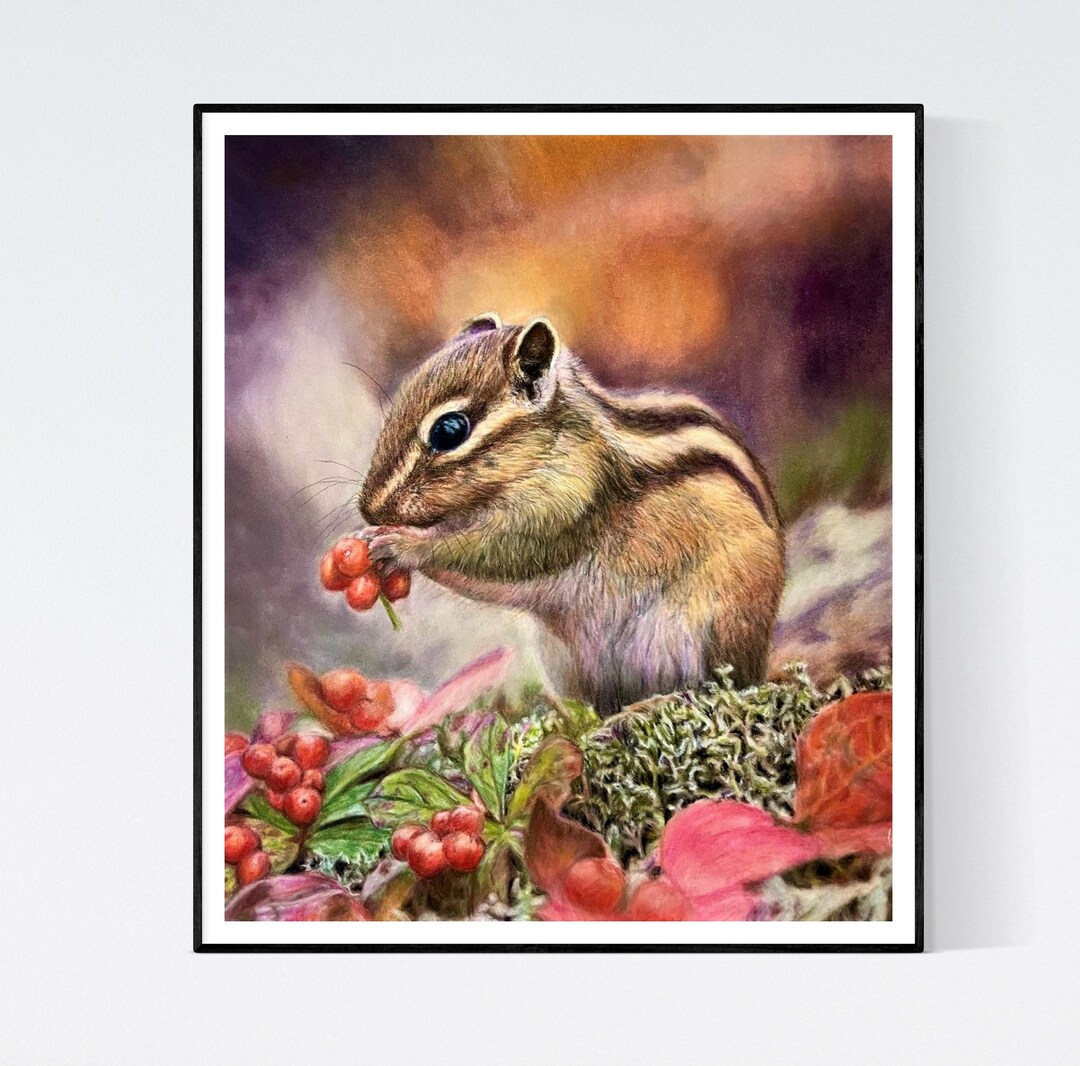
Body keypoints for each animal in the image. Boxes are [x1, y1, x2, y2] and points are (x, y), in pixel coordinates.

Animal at [356, 313, 785, 717]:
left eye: (449, 430)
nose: (369, 509)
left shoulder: (565, 507)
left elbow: (492, 555)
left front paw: (400, 545)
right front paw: (371, 537)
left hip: (716, 624)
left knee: (718, 687)